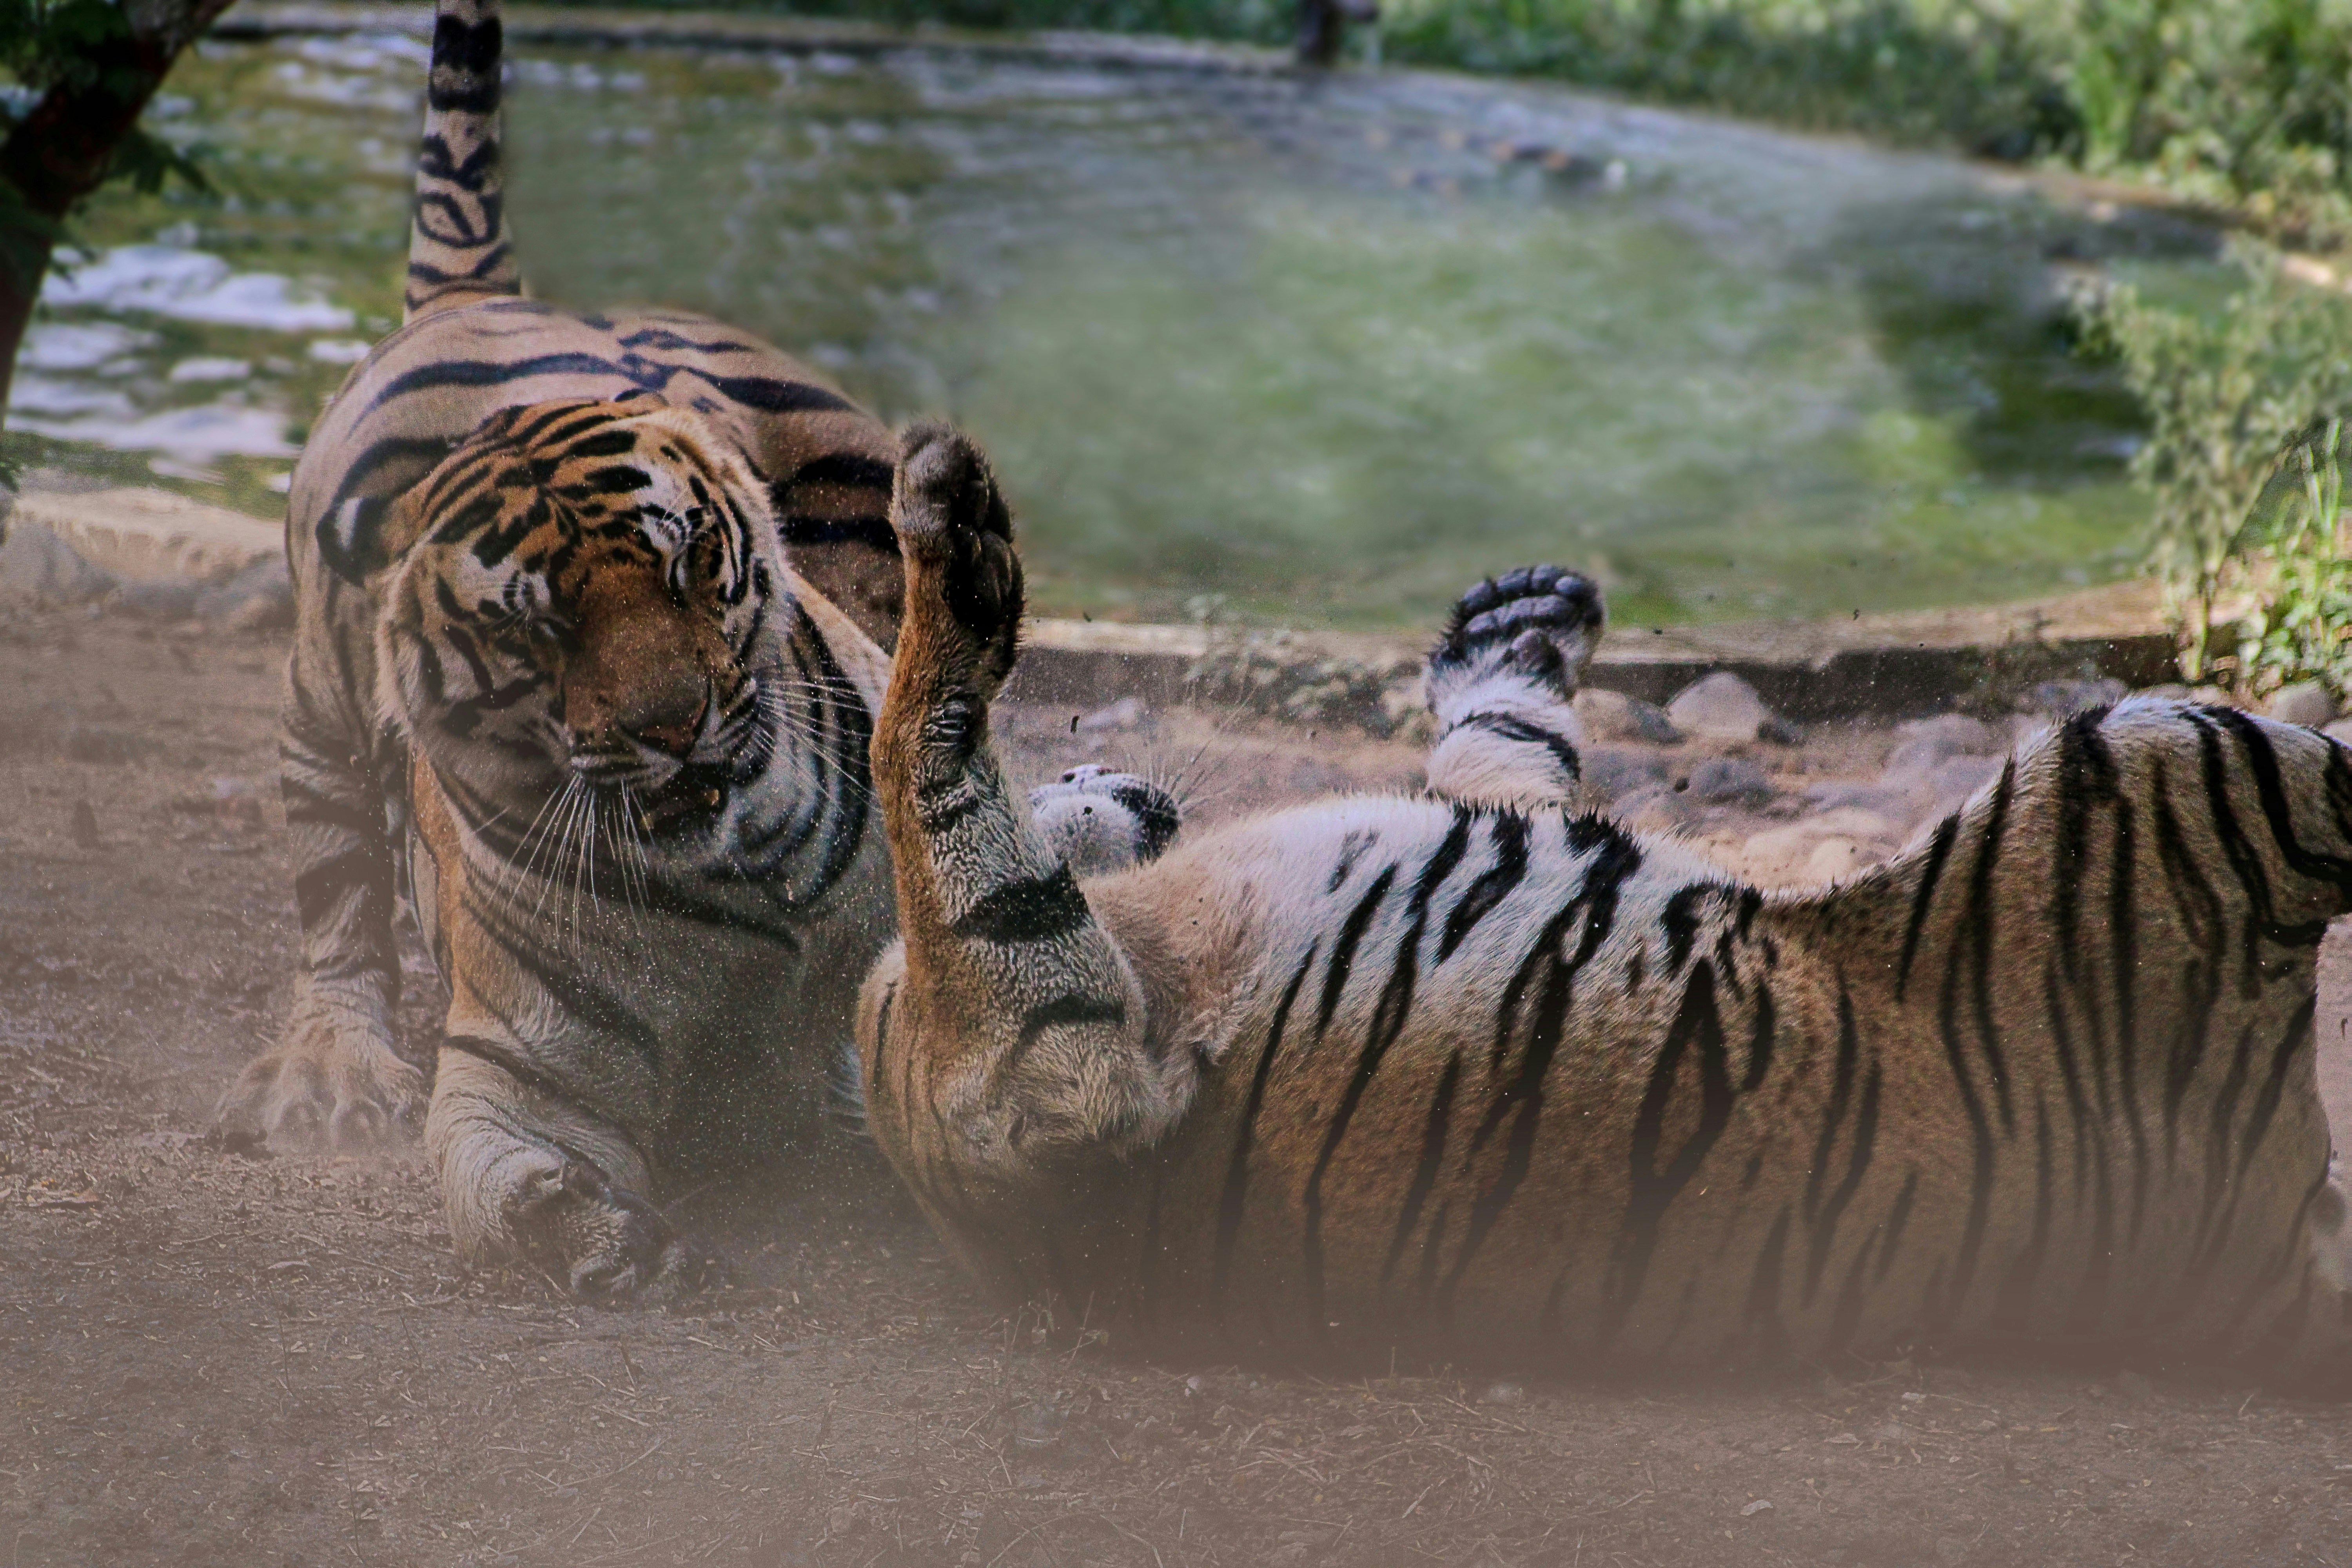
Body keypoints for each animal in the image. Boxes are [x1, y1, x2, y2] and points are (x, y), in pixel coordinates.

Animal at [216, 0, 915, 1296]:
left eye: (694, 566)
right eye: (535, 624)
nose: (677, 722)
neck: (749, 883)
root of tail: (478, 296)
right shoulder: (518, 1069)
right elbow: (508, 1189)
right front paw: (602, 1235)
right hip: (321, 701)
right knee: (336, 889)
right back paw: (333, 1074)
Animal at [854, 424, 2352, 1386]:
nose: (1102, 773)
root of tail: (2263, 1263)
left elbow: (1500, 743)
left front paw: (1517, 620)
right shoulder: (1038, 1088)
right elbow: (913, 756)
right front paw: (949, 540)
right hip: (2162, 757)